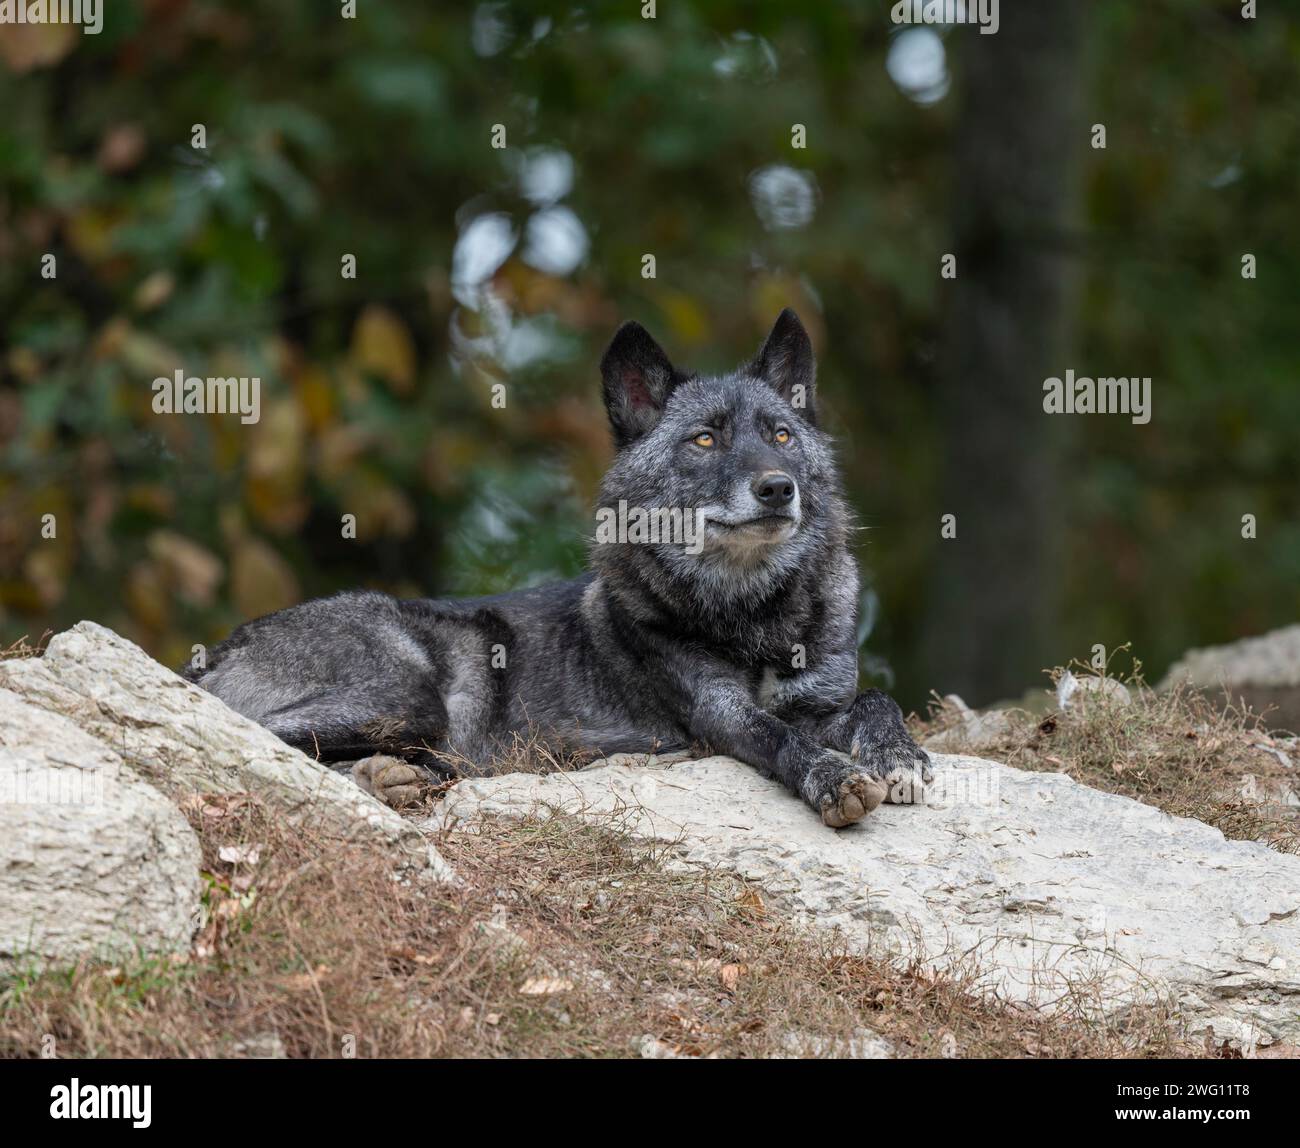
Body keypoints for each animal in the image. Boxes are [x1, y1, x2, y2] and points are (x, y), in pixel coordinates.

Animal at [186, 310, 931, 826]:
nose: (779, 487)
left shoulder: (823, 700)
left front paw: (897, 754)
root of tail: (212, 653)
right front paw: (834, 778)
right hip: (408, 691)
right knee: (266, 737)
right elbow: (778, 736)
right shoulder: (719, 715)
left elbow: (875, 700)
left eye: (781, 434)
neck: (755, 615)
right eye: (704, 439)